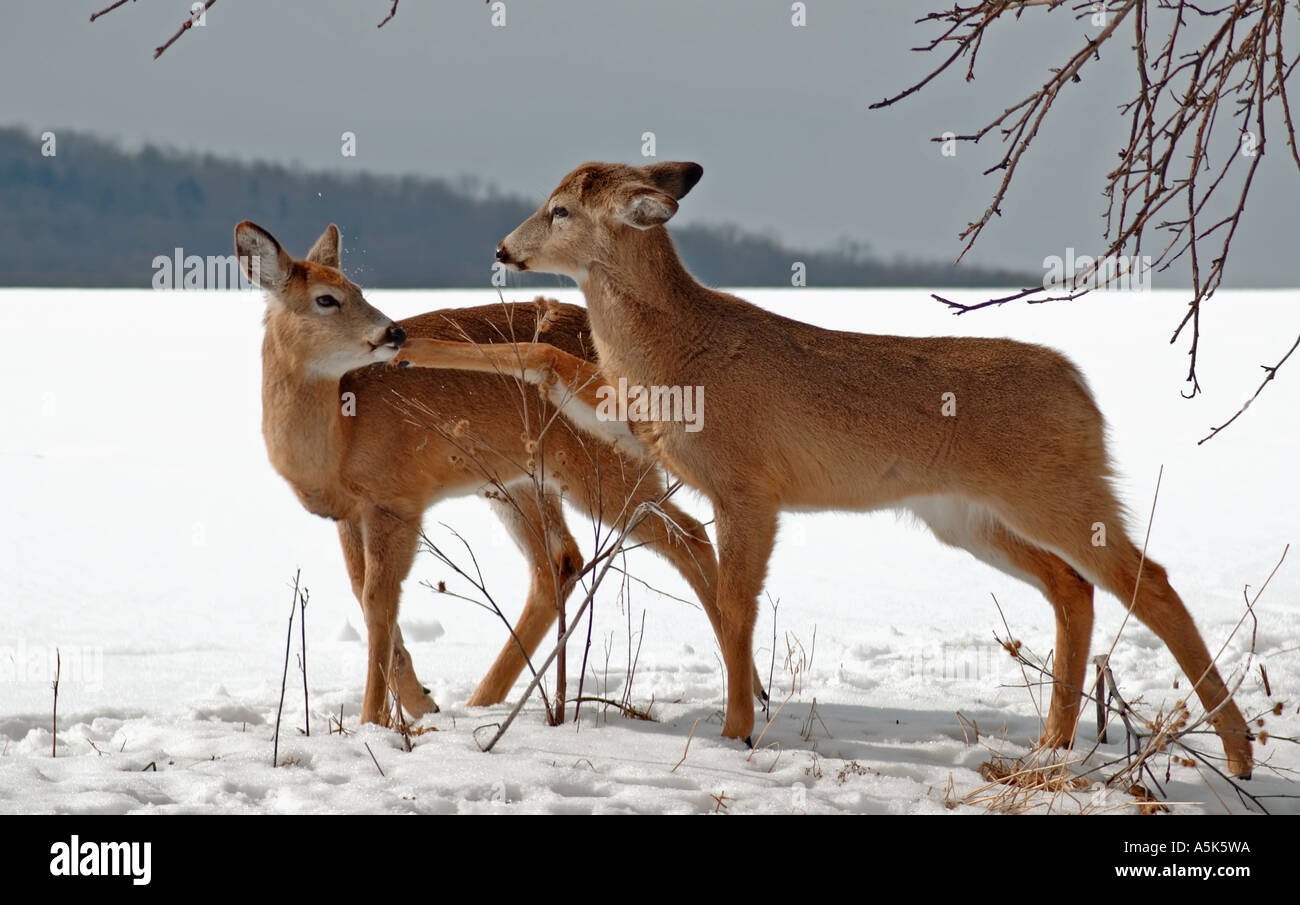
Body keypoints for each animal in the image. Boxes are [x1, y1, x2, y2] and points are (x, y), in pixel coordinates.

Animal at [237, 219, 757, 729]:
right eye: (326, 298)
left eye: (359, 289)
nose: (393, 333)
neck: (340, 437)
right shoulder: (348, 514)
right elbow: (363, 596)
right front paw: (420, 703)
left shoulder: (398, 498)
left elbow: (379, 601)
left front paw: (374, 720)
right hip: (518, 481)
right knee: (560, 562)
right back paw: (483, 702)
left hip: (601, 466)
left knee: (688, 536)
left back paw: (749, 689)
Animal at [390, 161, 1255, 779]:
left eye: (561, 209)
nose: (503, 249)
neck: (679, 349)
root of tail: (1084, 392)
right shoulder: (643, 424)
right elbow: (539, 356)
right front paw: (404, 341)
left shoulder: (750, 487)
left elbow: (735, 604)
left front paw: (737, 732)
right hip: (966, 518)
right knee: (1074, 588)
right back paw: (1053, 745)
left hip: (1056, 492)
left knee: (1151, 581)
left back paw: (1238, 751)